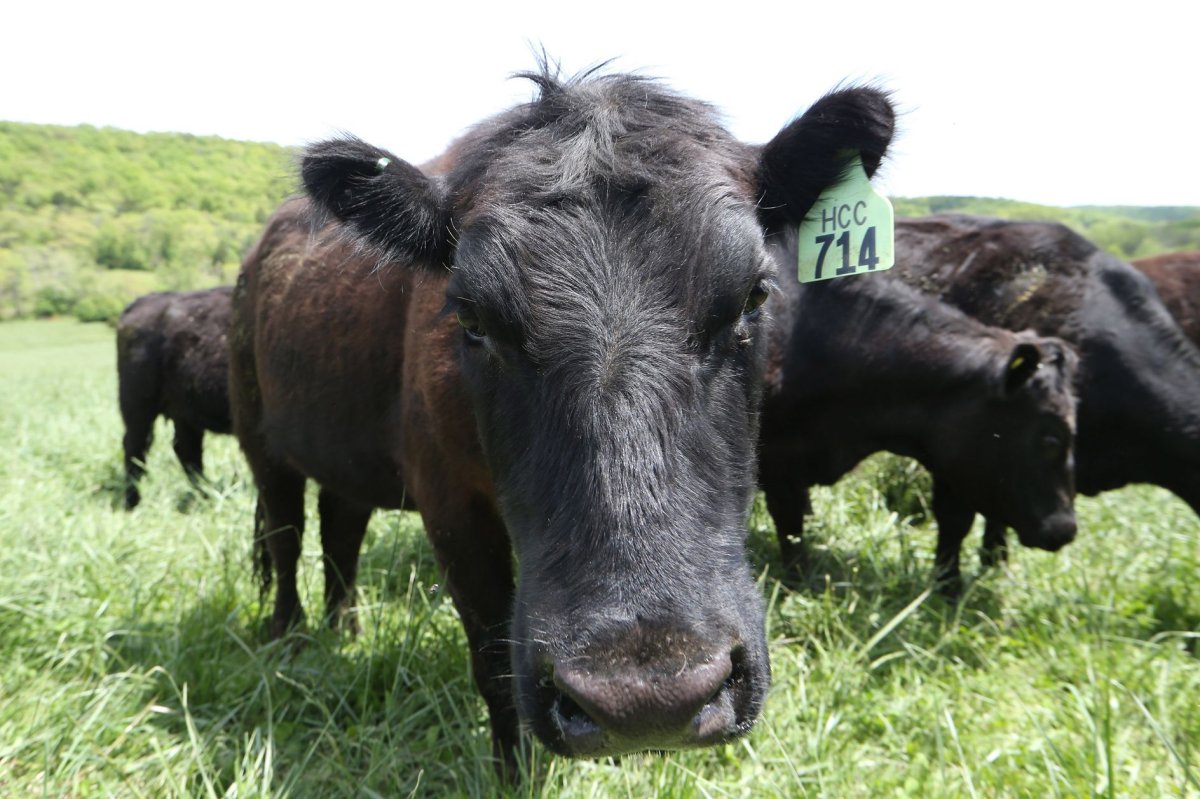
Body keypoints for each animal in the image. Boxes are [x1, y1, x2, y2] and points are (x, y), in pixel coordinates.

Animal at [116, 286, 233, 509]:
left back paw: (207, 494)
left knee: (186, 451)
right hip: (138, 407)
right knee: (135, 448)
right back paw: (132, 503)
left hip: (185, 413)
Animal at [228, 65, 896, 768]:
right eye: (471, 316)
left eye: (754, 296)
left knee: (340, 526)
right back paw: (289, 636)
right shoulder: (449, 504)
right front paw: (510, 772)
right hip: (257, 438)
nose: (648, 700)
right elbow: (491, 657)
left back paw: (345, 628)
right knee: (286, 533)